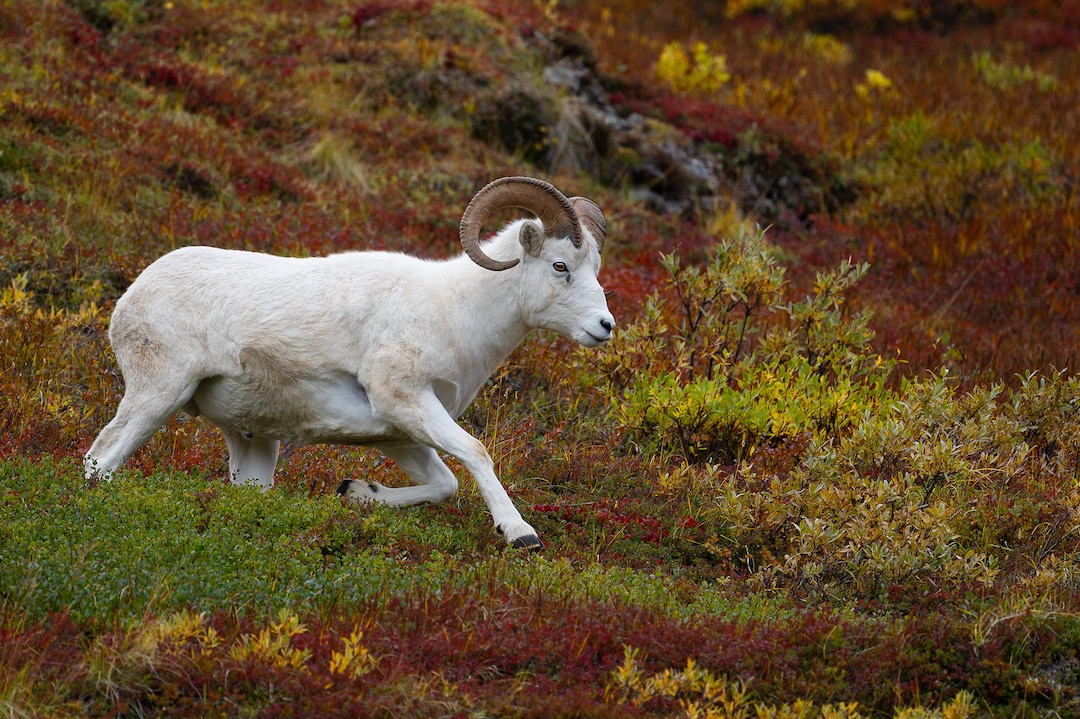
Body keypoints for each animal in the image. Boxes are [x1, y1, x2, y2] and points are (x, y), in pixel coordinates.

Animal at [84, 176, 615, 549]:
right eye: (560, 266)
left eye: (595, 267)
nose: (605, 326)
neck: (453, 309)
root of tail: (132, 297)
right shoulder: (406, 401)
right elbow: (476, 452)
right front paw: (521, 534)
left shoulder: (401, 434)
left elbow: (444, 484)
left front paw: (356, 492)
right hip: (158, 396)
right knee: (100, 461)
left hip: (252, 445)